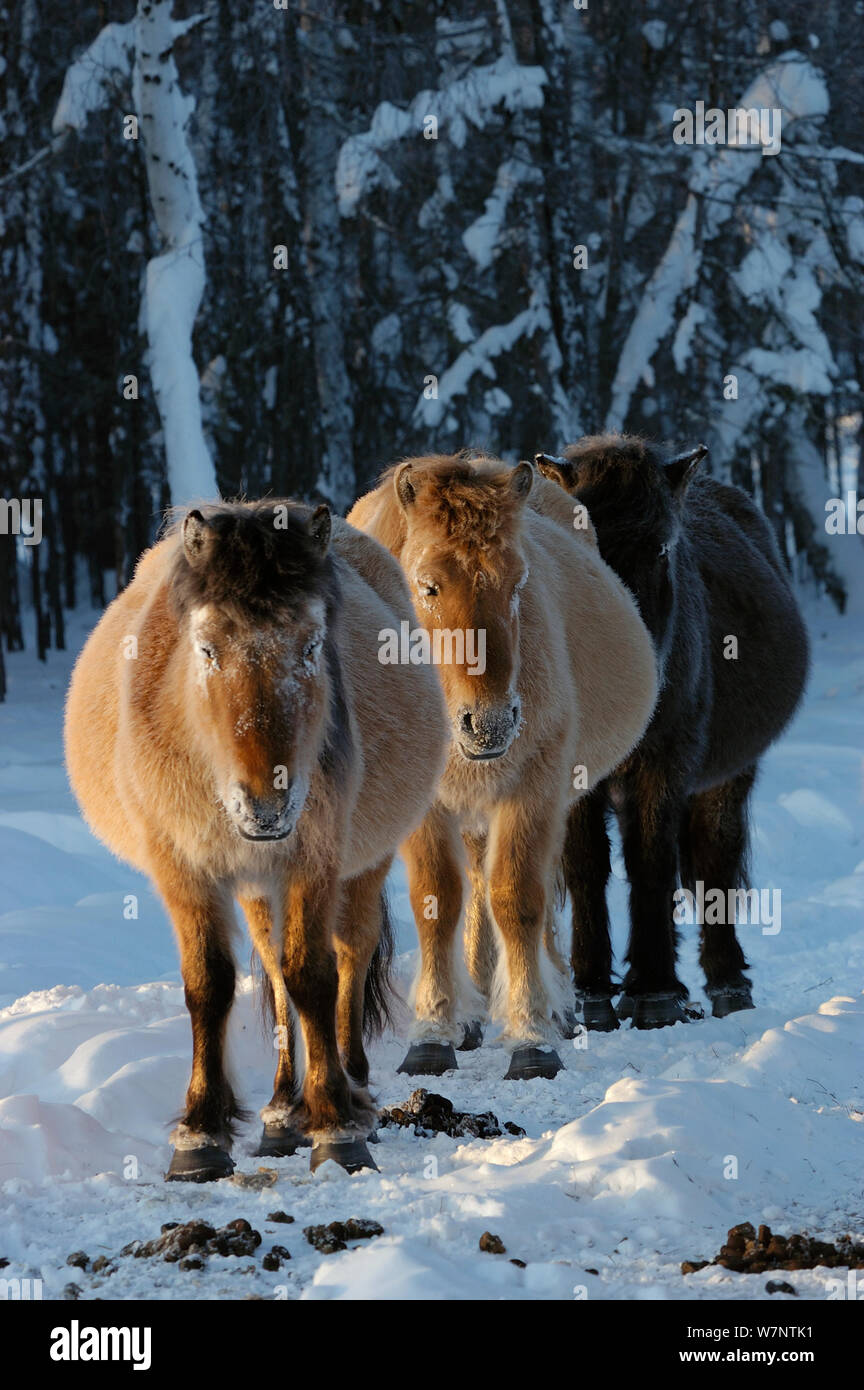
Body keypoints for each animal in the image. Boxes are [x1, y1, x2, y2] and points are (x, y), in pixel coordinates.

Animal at [64, 500, 449, 1179]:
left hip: (361, 865)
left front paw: (334, 1122)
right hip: (253, 884)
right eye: (207, 648)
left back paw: (353, 1086)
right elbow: (210, 984)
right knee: (271, 966)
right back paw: (279, 1109)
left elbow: (313, 976)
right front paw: (201, 1133)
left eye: (314, 645)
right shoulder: (184, 868)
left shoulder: (314, 859)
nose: (266, 804)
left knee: (348, 956)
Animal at [347, 453, 658, 1079]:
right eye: (428, 585)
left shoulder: (533, 789)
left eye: (518, 583)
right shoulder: (427, 805)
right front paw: (434, 1032)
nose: (489, 722)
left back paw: (555, 1005)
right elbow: (437, 903)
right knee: (472, 887)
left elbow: (518, 901)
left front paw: (532, 1038)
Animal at [535, 434, 810, 1029]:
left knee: (713, 861)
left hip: (725, 777)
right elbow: (586, 866)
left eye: (662, 550)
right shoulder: (574, 774)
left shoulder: (663, 765)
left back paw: (726, 983)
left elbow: (650, 862)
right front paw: (591, 992)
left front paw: (654, 992)